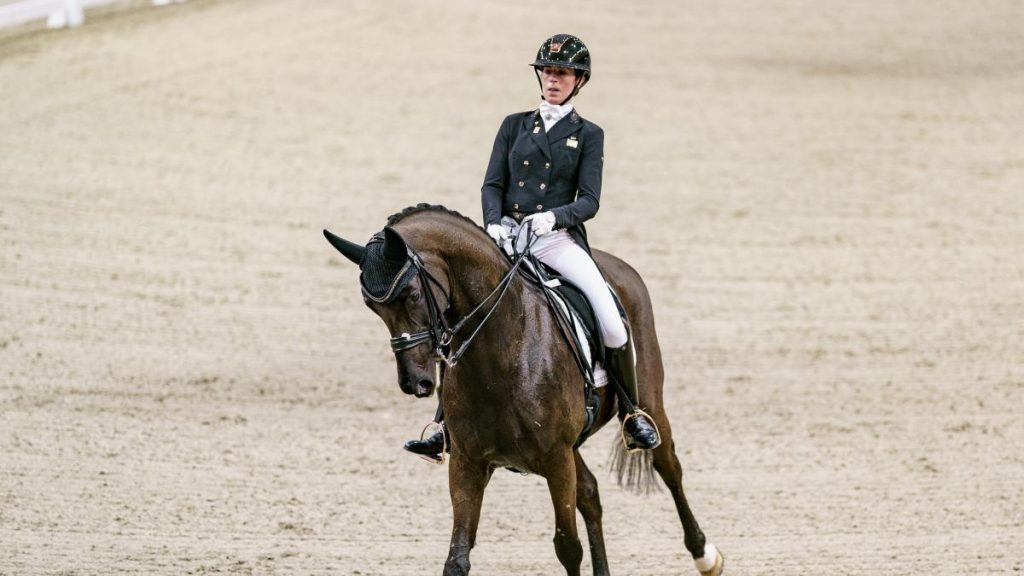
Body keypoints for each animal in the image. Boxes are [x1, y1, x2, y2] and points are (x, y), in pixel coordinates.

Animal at [323, 203, 724, 569]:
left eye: (411, 294)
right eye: (372, 307)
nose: (415, 382)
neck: (500, 351)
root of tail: (619, 266)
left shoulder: (556, 458)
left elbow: (568, 547)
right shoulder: (468, 461)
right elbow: (457, 557)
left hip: (648, 404)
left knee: (668, 466)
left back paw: (706, 555)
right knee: (591, 494)